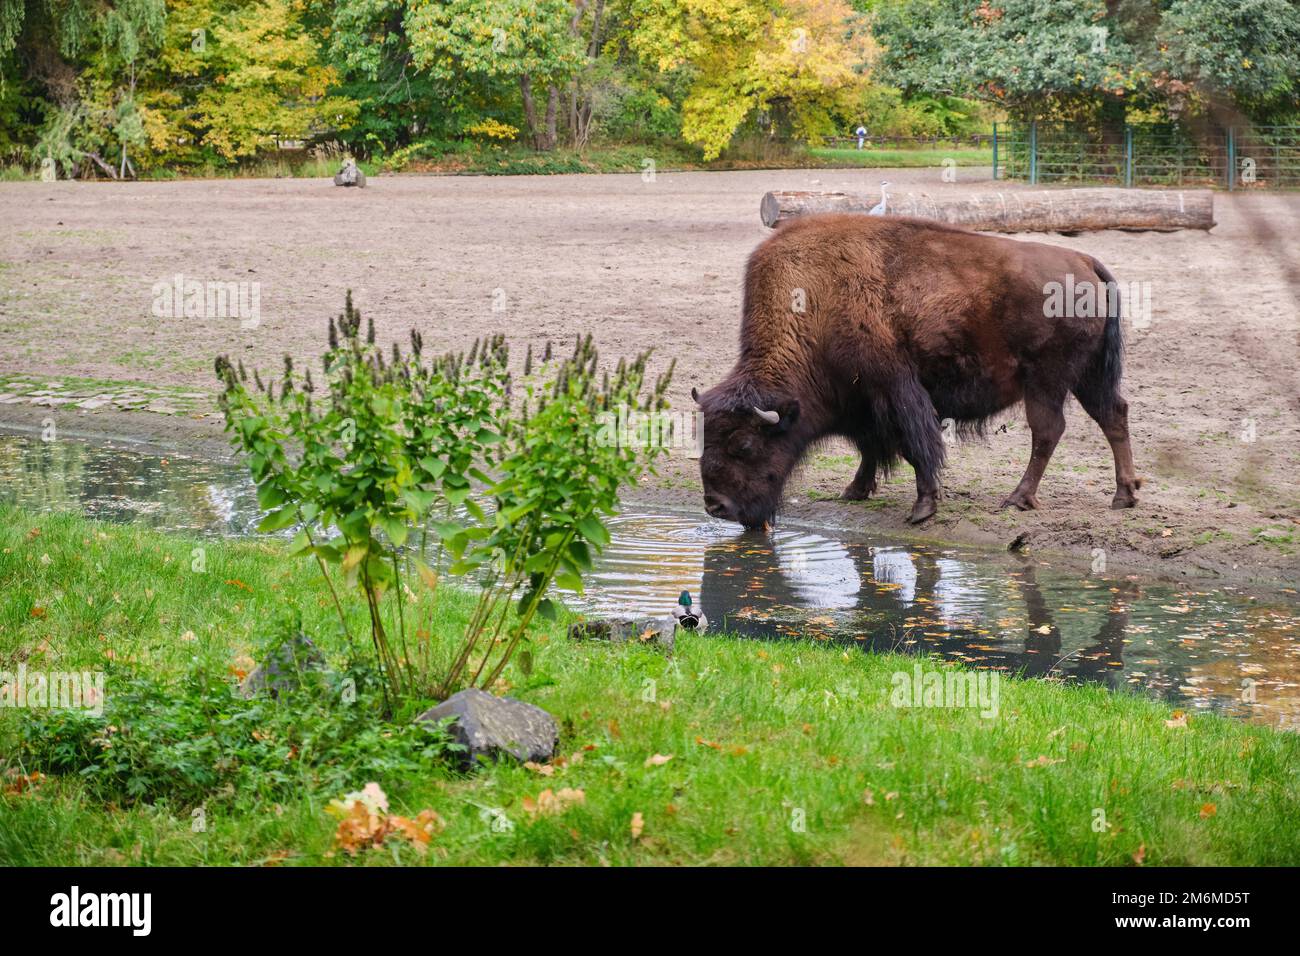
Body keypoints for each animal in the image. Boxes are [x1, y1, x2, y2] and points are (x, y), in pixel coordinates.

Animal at [693, 214, 1141, 529]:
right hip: (1088, 377)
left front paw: (922, 507)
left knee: (1048, 431)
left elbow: (913, 445)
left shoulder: (894, 389)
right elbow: (869, 446)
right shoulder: (862, 400)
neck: (813, 305)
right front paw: (855, 490)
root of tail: (1083, 260)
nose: (716, 506)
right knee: (1113, 415)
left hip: (1046, 380)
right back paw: (1124, 496)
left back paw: (1018, 499)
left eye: (743, 446)